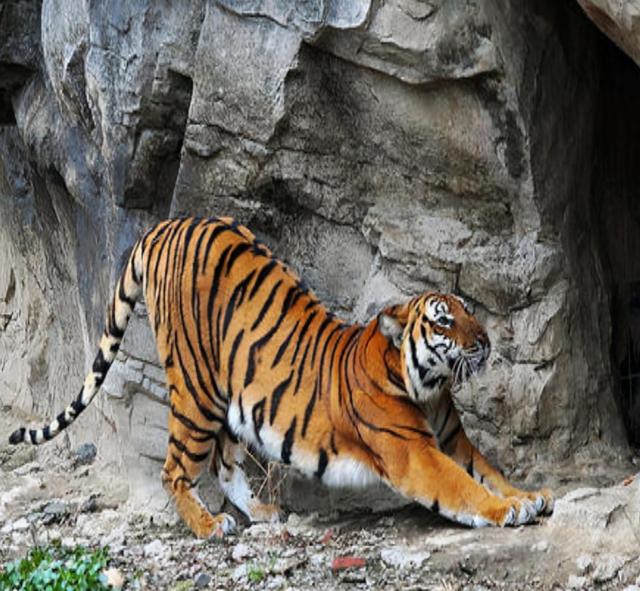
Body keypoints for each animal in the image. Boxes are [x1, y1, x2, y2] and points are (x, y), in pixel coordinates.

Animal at [9, 217, 553, 538]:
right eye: (444, 321)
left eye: (469, 311)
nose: (485, 341)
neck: (428, 385)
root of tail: (165, 225)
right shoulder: (414, 452)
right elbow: (463, 487)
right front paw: (506, 511)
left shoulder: (453, 438)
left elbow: (488, 472)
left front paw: (529, 496)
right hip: (195, 390)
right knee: (176, 468)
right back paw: (209, 525)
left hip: (227, 395)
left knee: (225, 463)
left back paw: (263, 514)